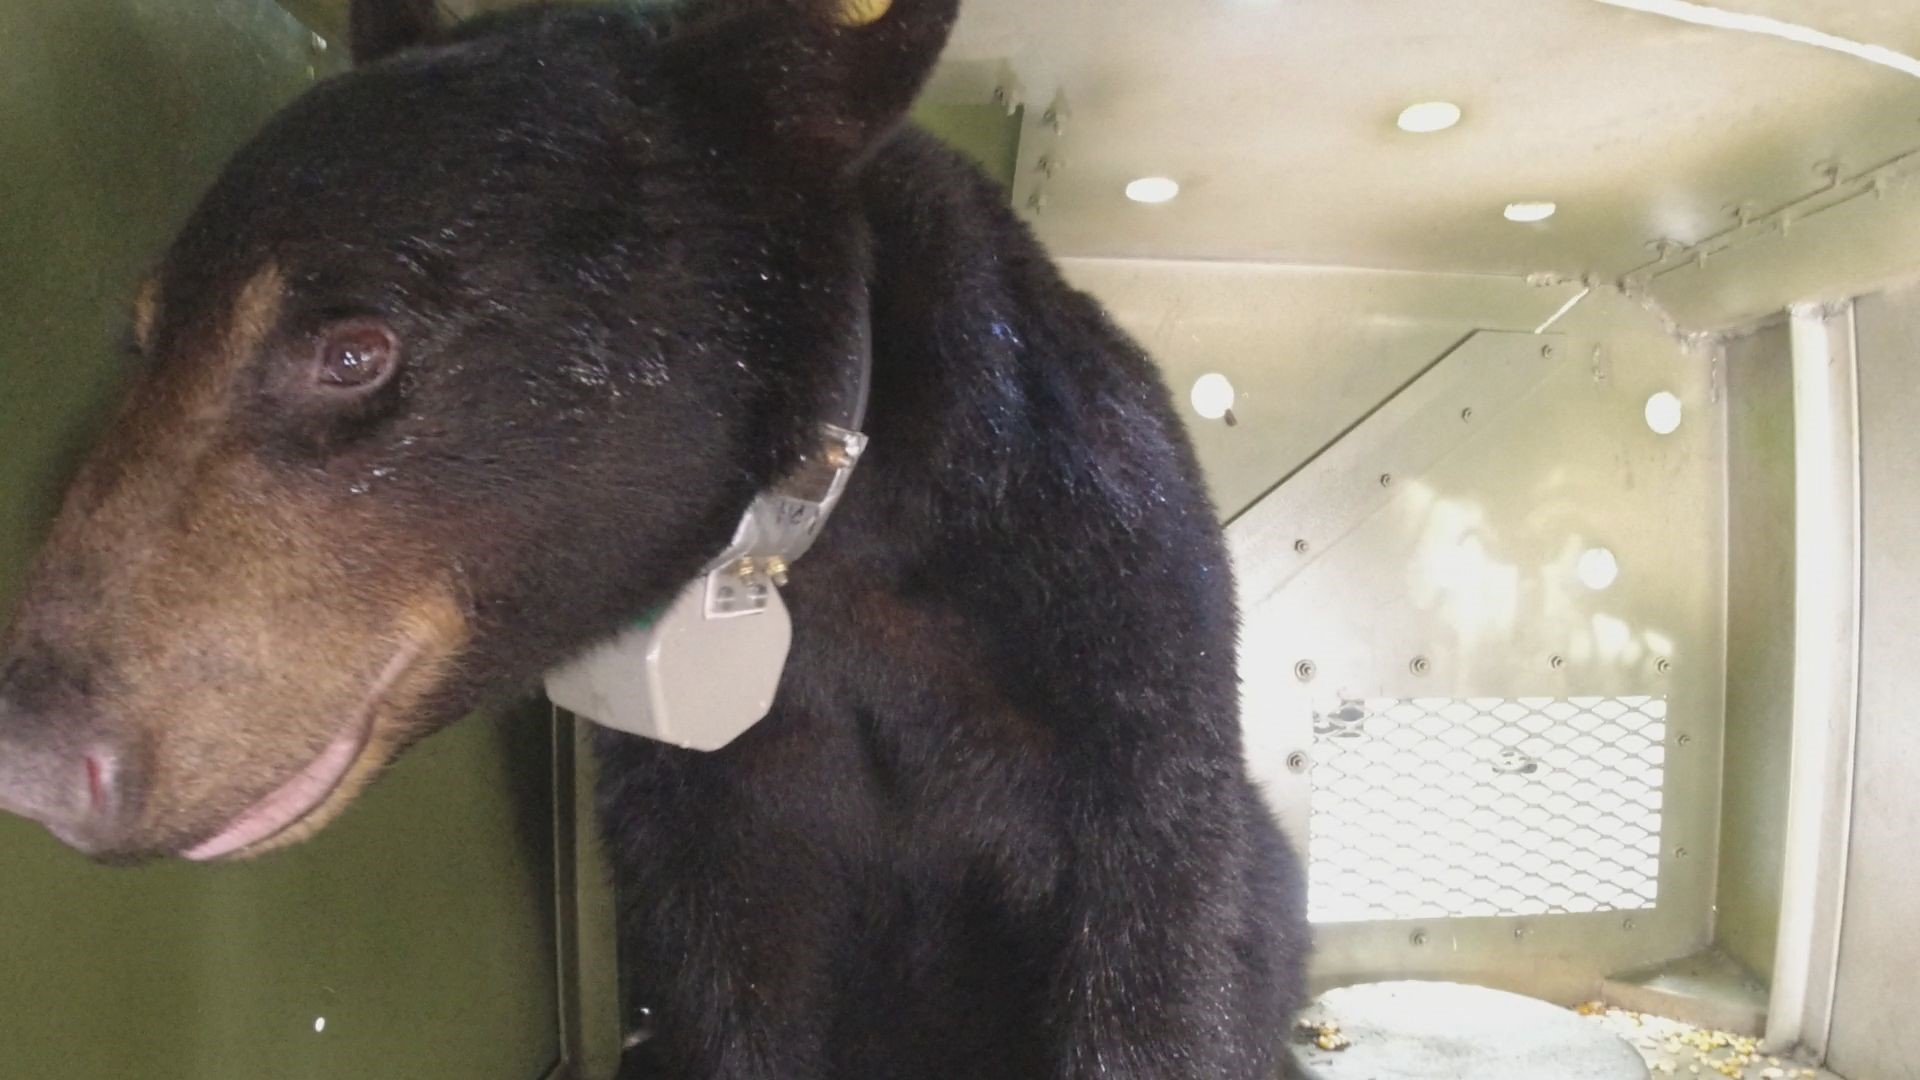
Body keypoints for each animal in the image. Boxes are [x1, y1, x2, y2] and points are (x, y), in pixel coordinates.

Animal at [0, 1, 1313, 1077]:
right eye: (142, 338)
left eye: (353, 347)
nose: (32, 750)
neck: (823, 553)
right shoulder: (703, 807)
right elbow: (729, 988)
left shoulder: (1115, 647)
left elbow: (1161, 966)